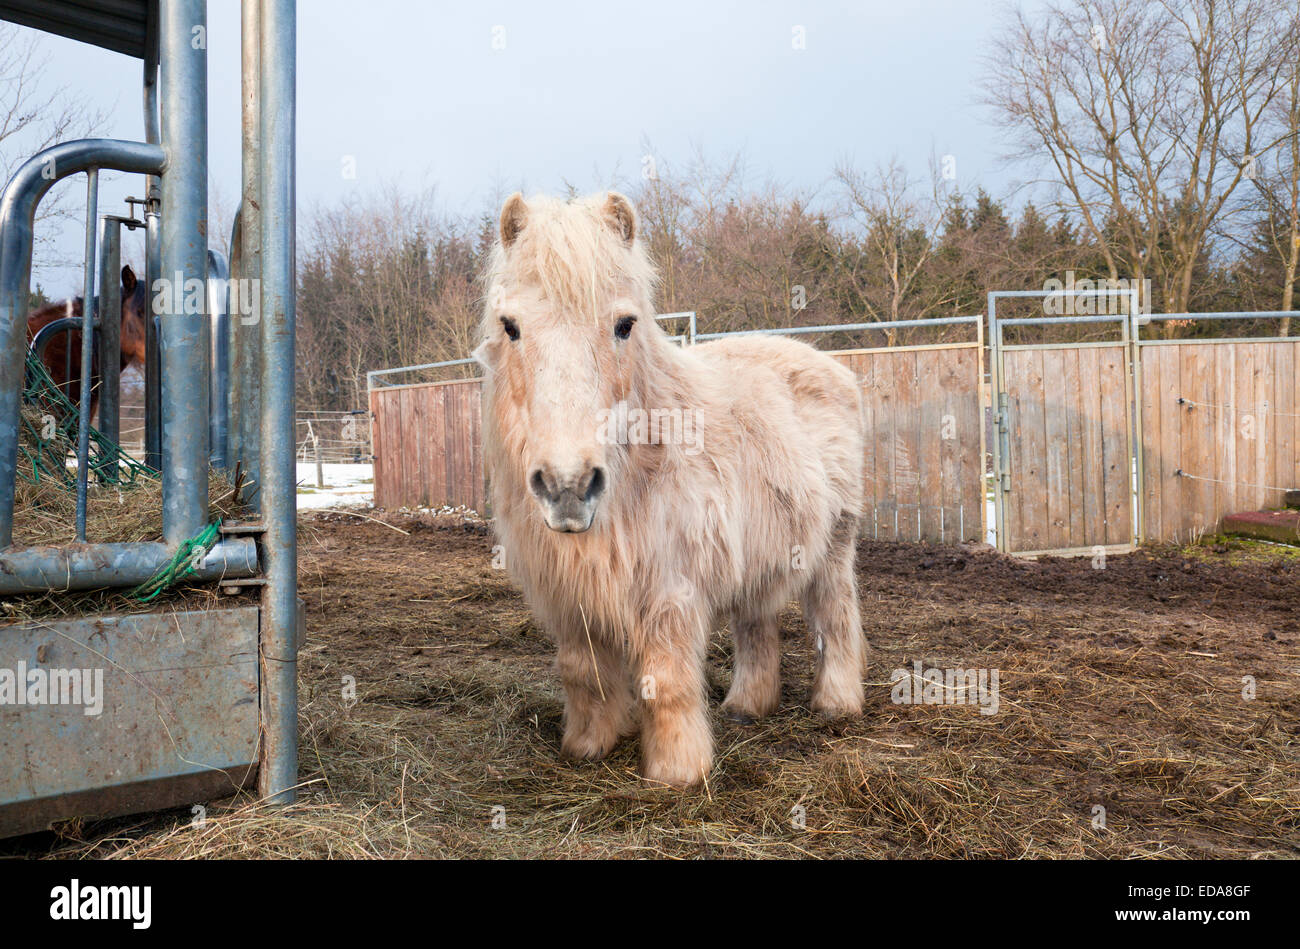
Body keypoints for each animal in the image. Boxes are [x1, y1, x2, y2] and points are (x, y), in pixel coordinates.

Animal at [476, 191, 867, 788]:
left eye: (624, 325)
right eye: (511, 326)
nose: (569, 486)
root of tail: (830, 368)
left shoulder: (670, 591)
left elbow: (666, 682)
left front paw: (677, 772)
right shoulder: (570, 596)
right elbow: (582, 672)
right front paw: (587, 747)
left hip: (834, 548)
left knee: (836, 616)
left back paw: (838, 704)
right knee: (757, 627)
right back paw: (747, 706)